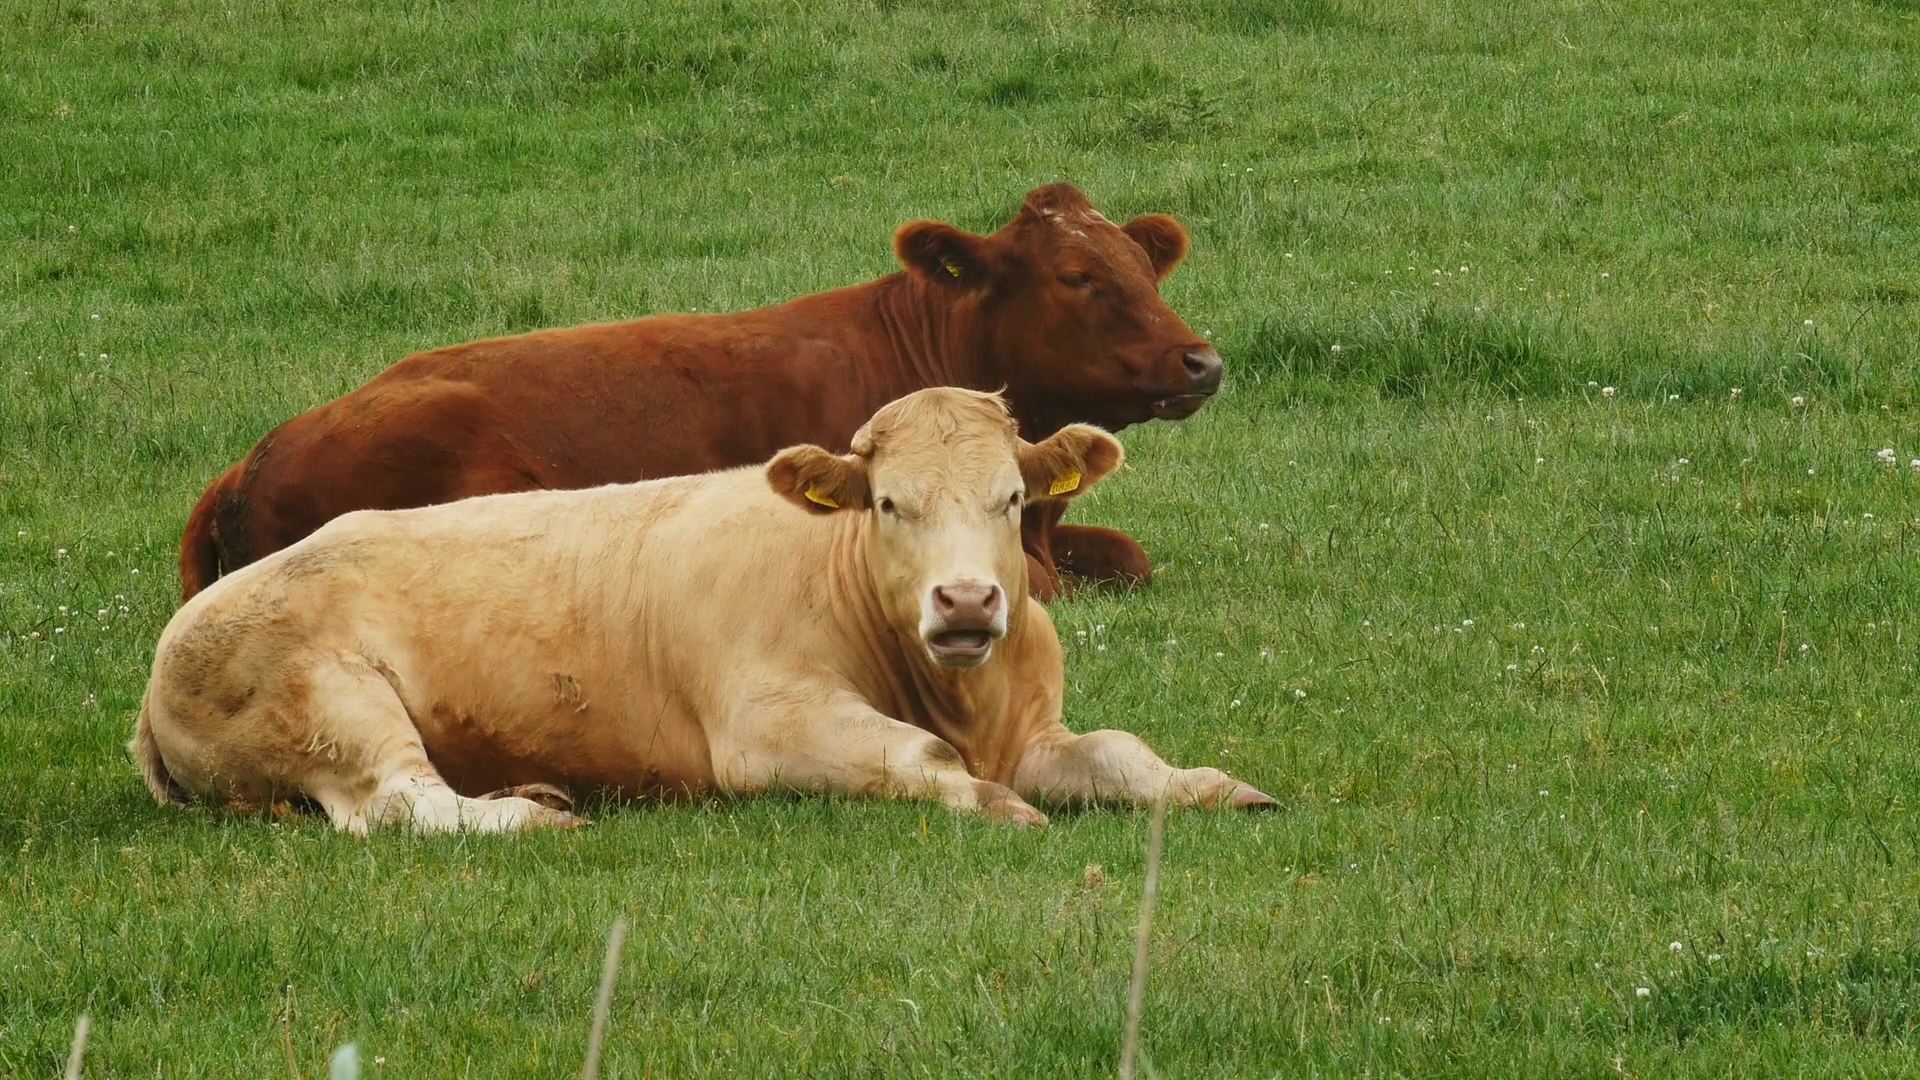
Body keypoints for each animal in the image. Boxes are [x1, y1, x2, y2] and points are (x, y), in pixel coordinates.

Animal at [133, 388, 1273, 832]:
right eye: (890, 503)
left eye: (1011, 500)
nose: (965, 598)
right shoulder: (767, 732)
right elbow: (927, 763)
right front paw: (988, 803)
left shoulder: (1037, 729)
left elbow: (1122, 753)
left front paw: (1213, 786)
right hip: (334, 705)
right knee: (402, 806)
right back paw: (530, 815)